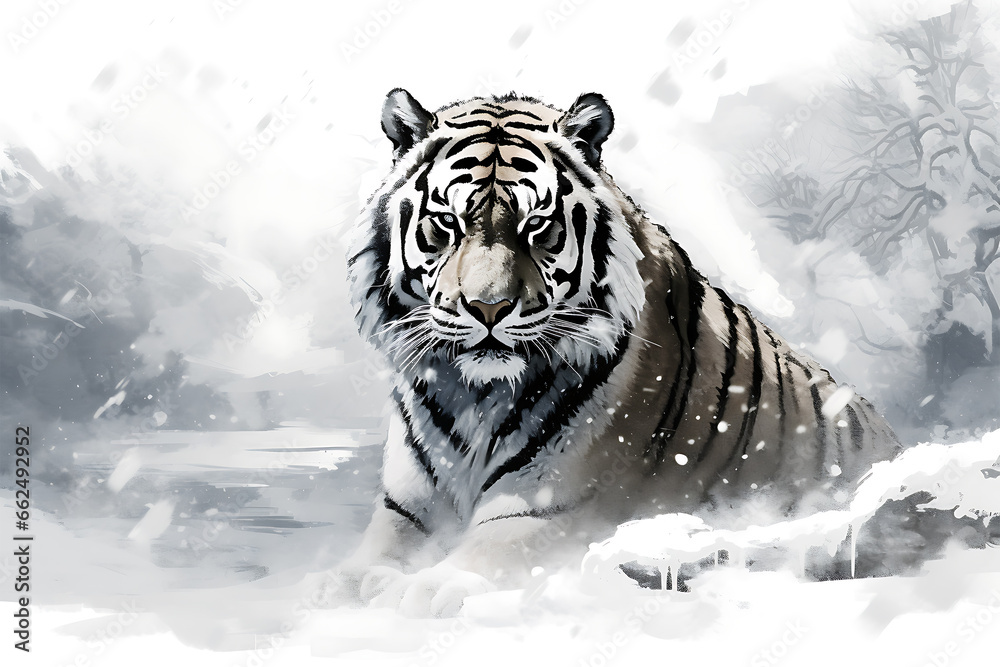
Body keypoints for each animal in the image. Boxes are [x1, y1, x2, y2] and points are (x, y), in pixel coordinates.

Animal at [341, 88, 900, 614]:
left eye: (536, 227)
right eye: (448, 225)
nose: (488, 307)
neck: (470, 394)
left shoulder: (545, 507)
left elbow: (486, 550)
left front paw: (429, 585)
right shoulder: (404, 507)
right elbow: (373, 554)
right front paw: (343, 582)